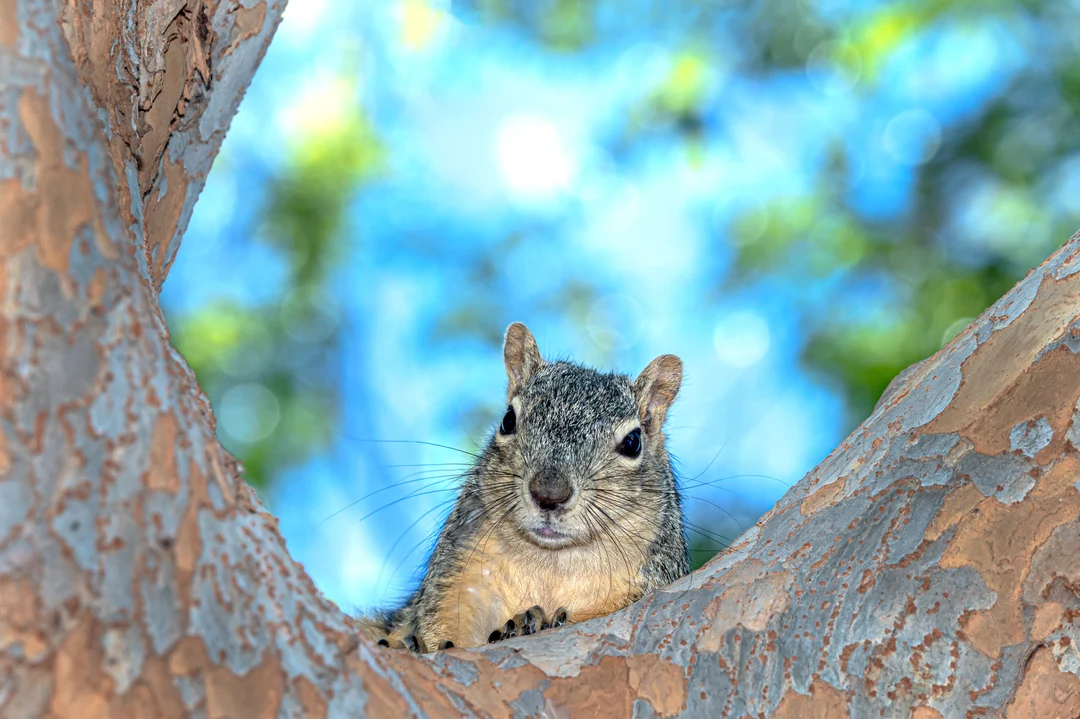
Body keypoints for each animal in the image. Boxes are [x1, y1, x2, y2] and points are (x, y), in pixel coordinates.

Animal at [358, 322, 690, 651]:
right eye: (508, 420)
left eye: (633, 442)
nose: (549, 494)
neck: (551, 563)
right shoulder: (456, 581)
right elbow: (441, 628)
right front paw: (410, 644)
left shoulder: (649, 586)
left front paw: (528, 622)